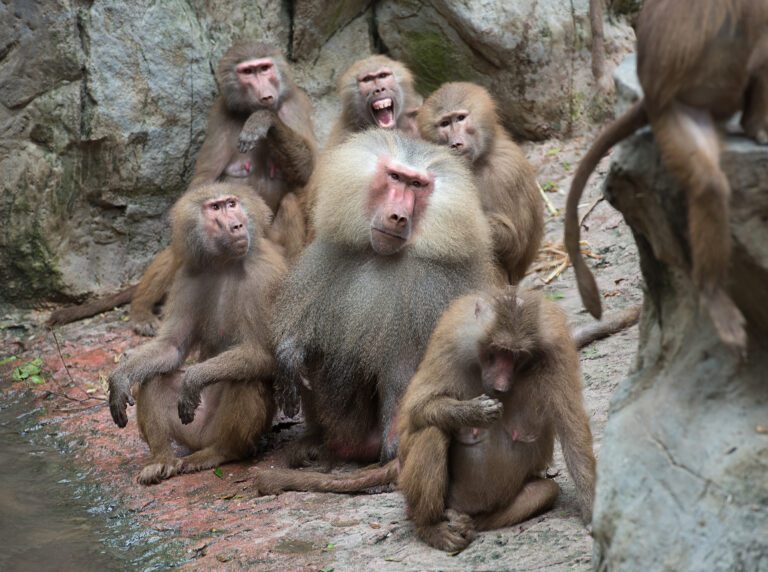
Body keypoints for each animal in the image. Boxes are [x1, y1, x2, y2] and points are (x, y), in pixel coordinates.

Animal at [108, 183, 288, 484]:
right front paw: (119, 379)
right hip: (190, 431)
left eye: (232, 203)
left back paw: (220, 453)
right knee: (154, 380)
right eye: (215, 207)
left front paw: (194, 378)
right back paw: (162, 460)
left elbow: (262, 352)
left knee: (247, 380)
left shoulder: (265, 278)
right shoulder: (189, 277)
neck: (226, 262)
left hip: (218, 429)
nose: (237, 226)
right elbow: (171, 347)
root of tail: (203, 440)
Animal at [128, 41, 316, 336]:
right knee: (181, 245)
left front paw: (264, 119)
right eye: (248, 72)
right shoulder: (220, 113)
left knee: (289, 202)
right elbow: (203, 181)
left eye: (264, 68)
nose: (265, 95)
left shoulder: (294, 104)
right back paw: (141, 311)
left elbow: (307, 170)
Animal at [253, 286, 597, 552]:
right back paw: (431, 527)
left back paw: (468, 521)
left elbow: (573, 431)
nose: (499, 386)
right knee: (431, 432)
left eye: (518, 356)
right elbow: (415, 410)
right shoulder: (449, 338)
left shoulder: (556, 351)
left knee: (544, 492)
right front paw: (473, 411)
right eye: (496, 351)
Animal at [272, 129, 496, 467]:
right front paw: (288, 357)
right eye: (395, 177)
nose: (397, 217)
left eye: (417, 185)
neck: (381, 257)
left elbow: (404, 368)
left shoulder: (431, 289)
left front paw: (395, 444)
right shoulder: (331, 259)